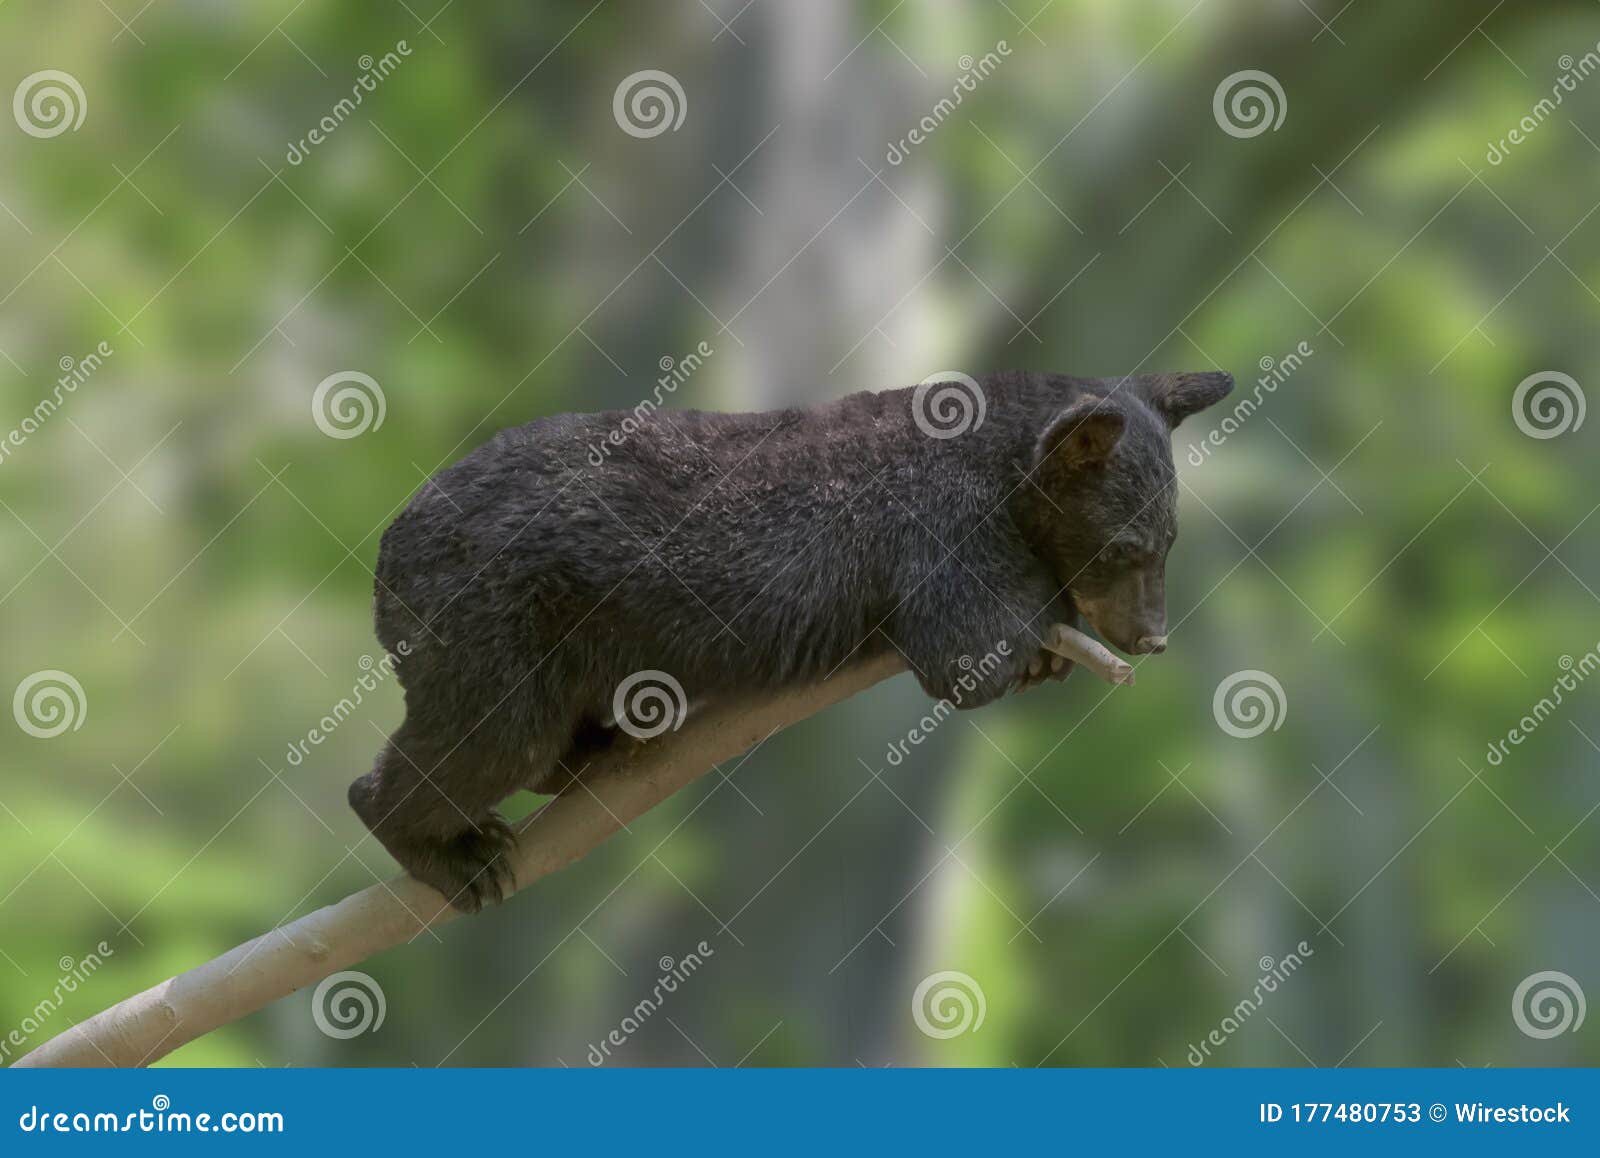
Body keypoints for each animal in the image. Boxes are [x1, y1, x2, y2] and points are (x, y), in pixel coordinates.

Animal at [348, 368, 1234, 911]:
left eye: (1170, 542)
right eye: (1122, 549)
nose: (1152, 639)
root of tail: (385, 550)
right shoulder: (940, 530)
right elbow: (964, 656)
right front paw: (1041, 640)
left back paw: (592, 754)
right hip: (482, 617)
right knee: (490, 737)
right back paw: (449, 852)